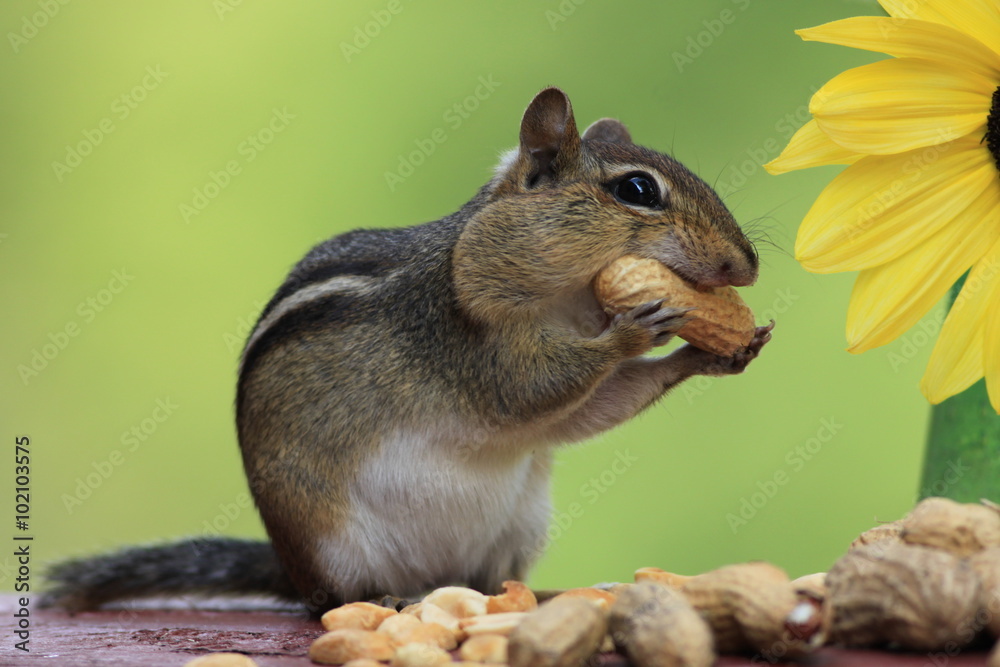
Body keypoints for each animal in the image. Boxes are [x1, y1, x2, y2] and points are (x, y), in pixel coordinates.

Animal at [43, 87, 772, 615]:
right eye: (636, 190)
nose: (748, 264)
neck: (568, 305)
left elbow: (585, 411)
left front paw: (716, 352)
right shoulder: (464, 339)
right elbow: (530, 388)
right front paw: (637, 327)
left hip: (520, 528)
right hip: (331, 544)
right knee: (334, 602)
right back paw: (386, 599)